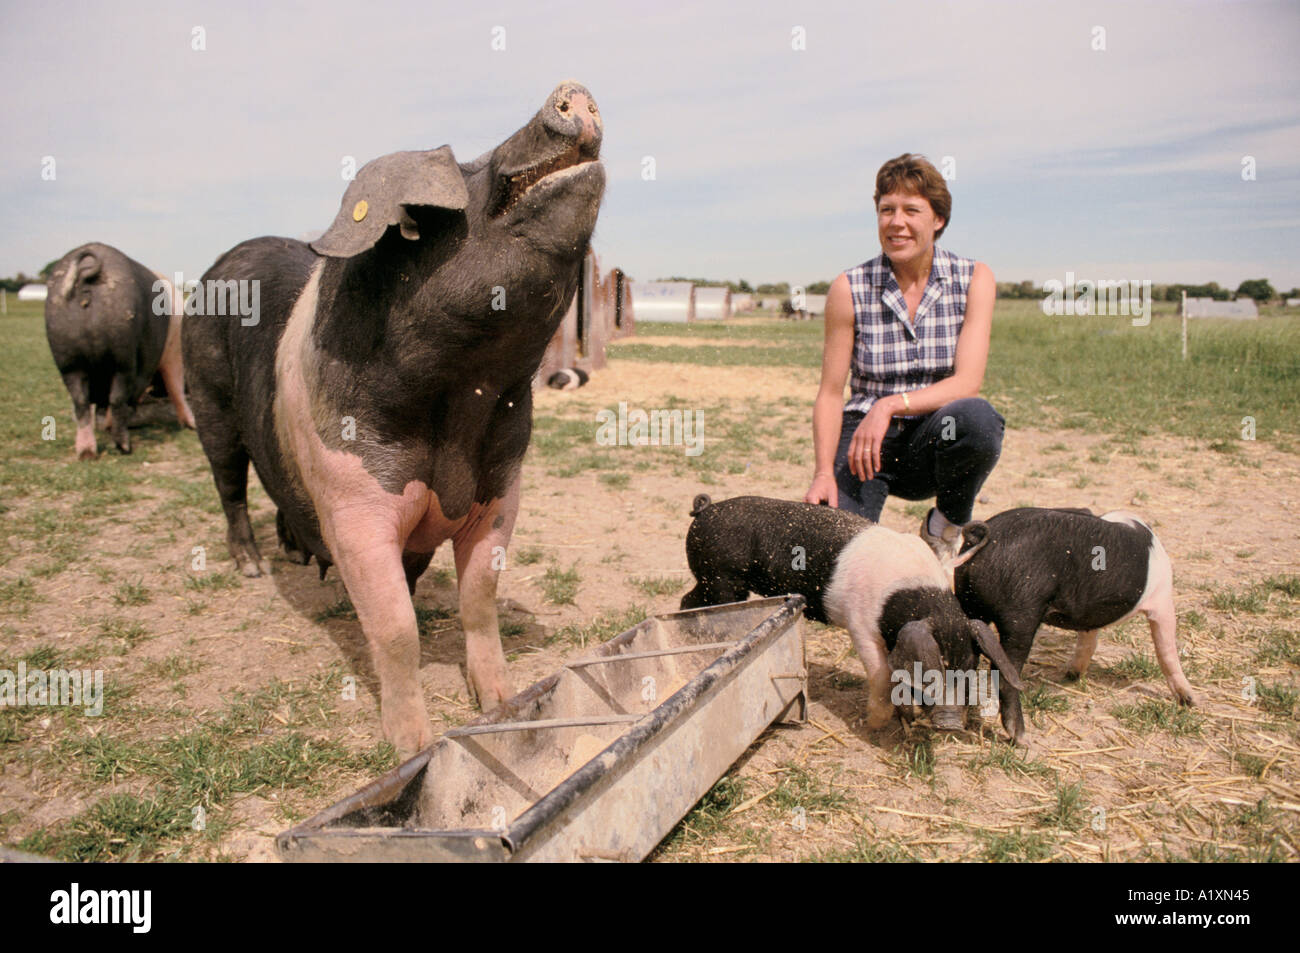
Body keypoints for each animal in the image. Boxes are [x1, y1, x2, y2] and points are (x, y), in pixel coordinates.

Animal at [44, 243, 195, 459]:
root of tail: (87, 271)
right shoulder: (172, 352)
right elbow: (176, 387)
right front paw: (192, 425)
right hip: (122, 355)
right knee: (116, 399)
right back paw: (124, 447)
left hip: (66, 356)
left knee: (81, 402)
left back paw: (87, 453)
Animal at [182, 82, 604, 757]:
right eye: (470, 169)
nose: (573, 91)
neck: (460, 407)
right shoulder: (352, 501)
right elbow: (395, 626)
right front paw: (412, 746)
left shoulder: (502, 490)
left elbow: (479, 601)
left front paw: (500, 703)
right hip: (209, 402)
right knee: (229, 484)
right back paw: (251, 566)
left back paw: (295, 557)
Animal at [680, 495, 1022, 731]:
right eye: (929, 672)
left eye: (969, 669)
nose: (950, 724)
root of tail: (704, 510)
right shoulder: (861, 626)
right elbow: (881, 672)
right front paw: (874, 725)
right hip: (723, 579)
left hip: (711, 580)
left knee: (687, 601)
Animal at [952, 506, 1197, 743]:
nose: (1072, 675)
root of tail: (987, 537)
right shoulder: (1162, 602)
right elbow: (1167, 650)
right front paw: (1189, 700)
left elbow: (1087, 641)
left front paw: (1073, 674)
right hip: (1020, 612)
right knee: (1004, 675)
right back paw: (1021, 738)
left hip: (968, 601)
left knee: (968, 660)